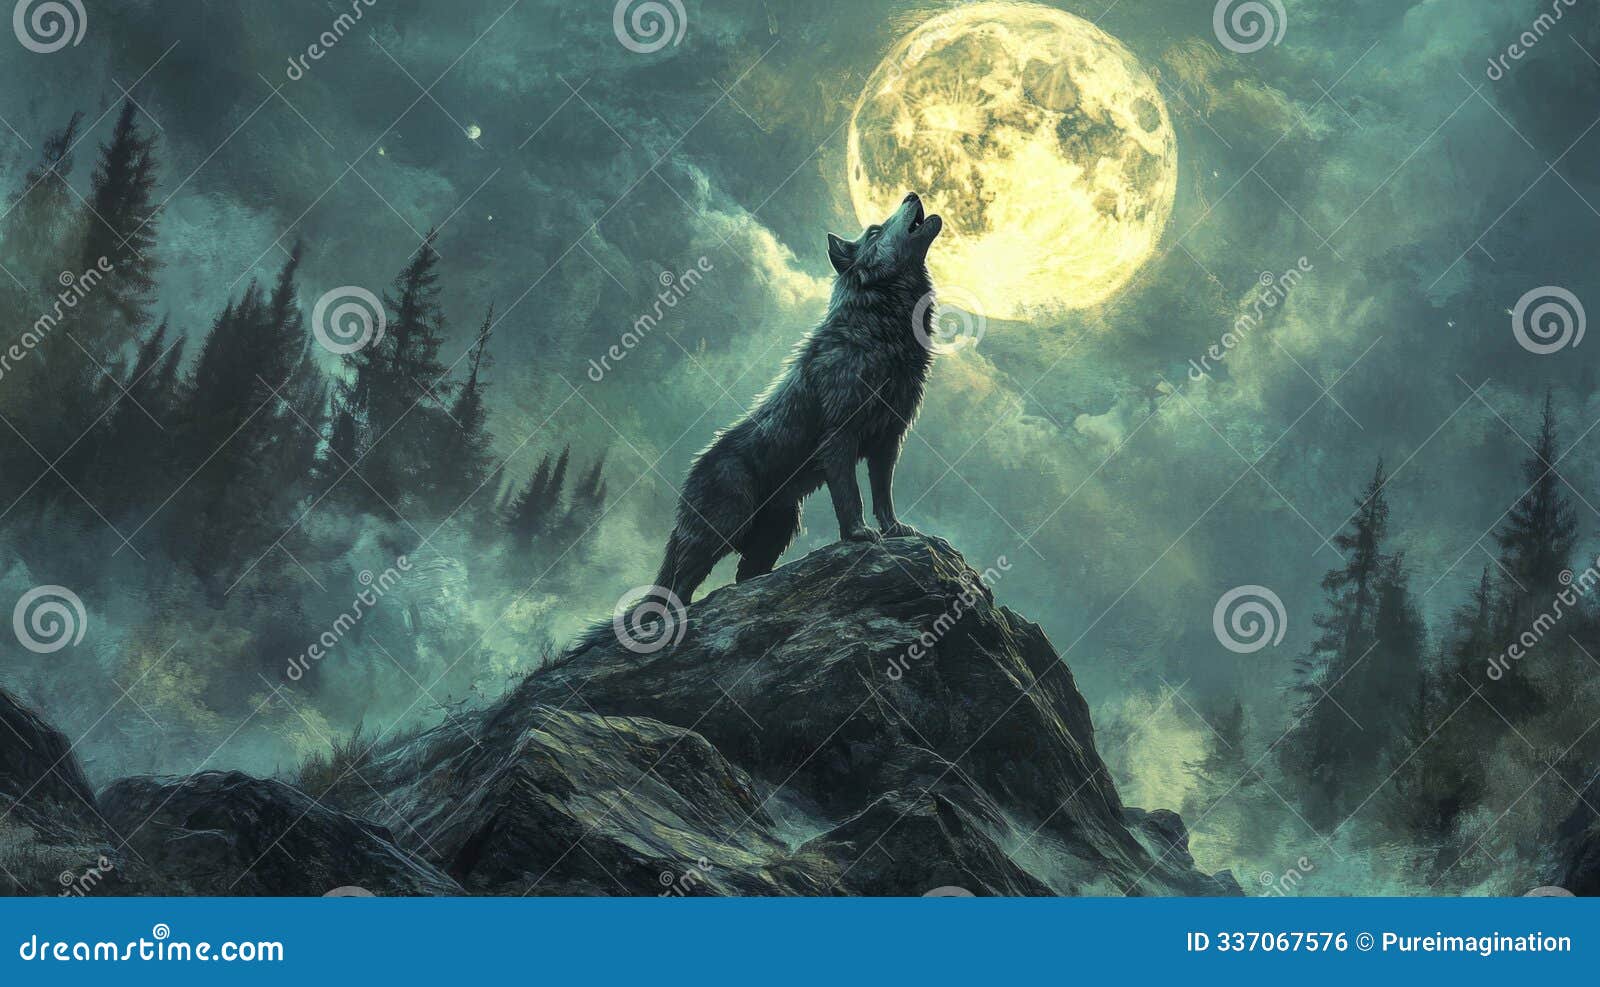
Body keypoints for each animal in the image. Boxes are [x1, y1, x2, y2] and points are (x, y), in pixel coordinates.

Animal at [652, 191, 944, 606]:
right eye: (874, 230)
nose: (911, 194)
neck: (879, 333)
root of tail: (688, 479)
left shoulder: (888, 440)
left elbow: (882, 494)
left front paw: (894, 528)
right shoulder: (840, 437)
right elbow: (851, 496)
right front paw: (859, 535)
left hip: (779, 529)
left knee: (745, 576)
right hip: (724, 526)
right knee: (680, 584)